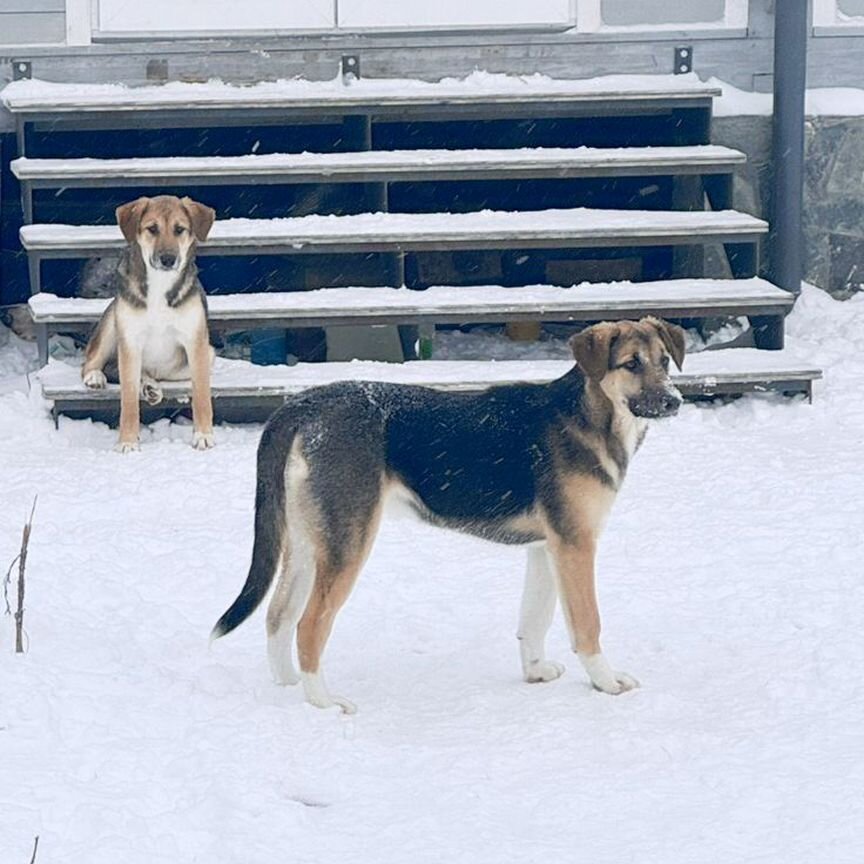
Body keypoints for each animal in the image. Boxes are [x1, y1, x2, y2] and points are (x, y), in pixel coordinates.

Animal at [82, 196, 216, 452]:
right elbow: (128, 400)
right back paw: (97, 377)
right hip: (112, 322)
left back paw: (151, 387)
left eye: (179, 229)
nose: (168, 259)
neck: (160, 284)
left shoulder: (195, 341)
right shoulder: (130, 342)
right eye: (152, 229)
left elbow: (201, 394)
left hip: (207, 353)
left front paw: (203, 435)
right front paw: (127, 441)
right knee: (91, 362)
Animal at [213, 318, 684, 708]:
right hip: (347, 543)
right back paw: (324, 704)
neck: (591, 415)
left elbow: (534, 620)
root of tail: (304, 404)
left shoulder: (546, 549)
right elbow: (587, 625)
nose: (674, 402)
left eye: (664, 361)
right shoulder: (576, 545)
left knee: (278, 616)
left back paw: (289, 687)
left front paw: (535, 672)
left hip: (307, 542)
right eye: (631, 364)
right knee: (309, 625)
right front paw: (607, 682)